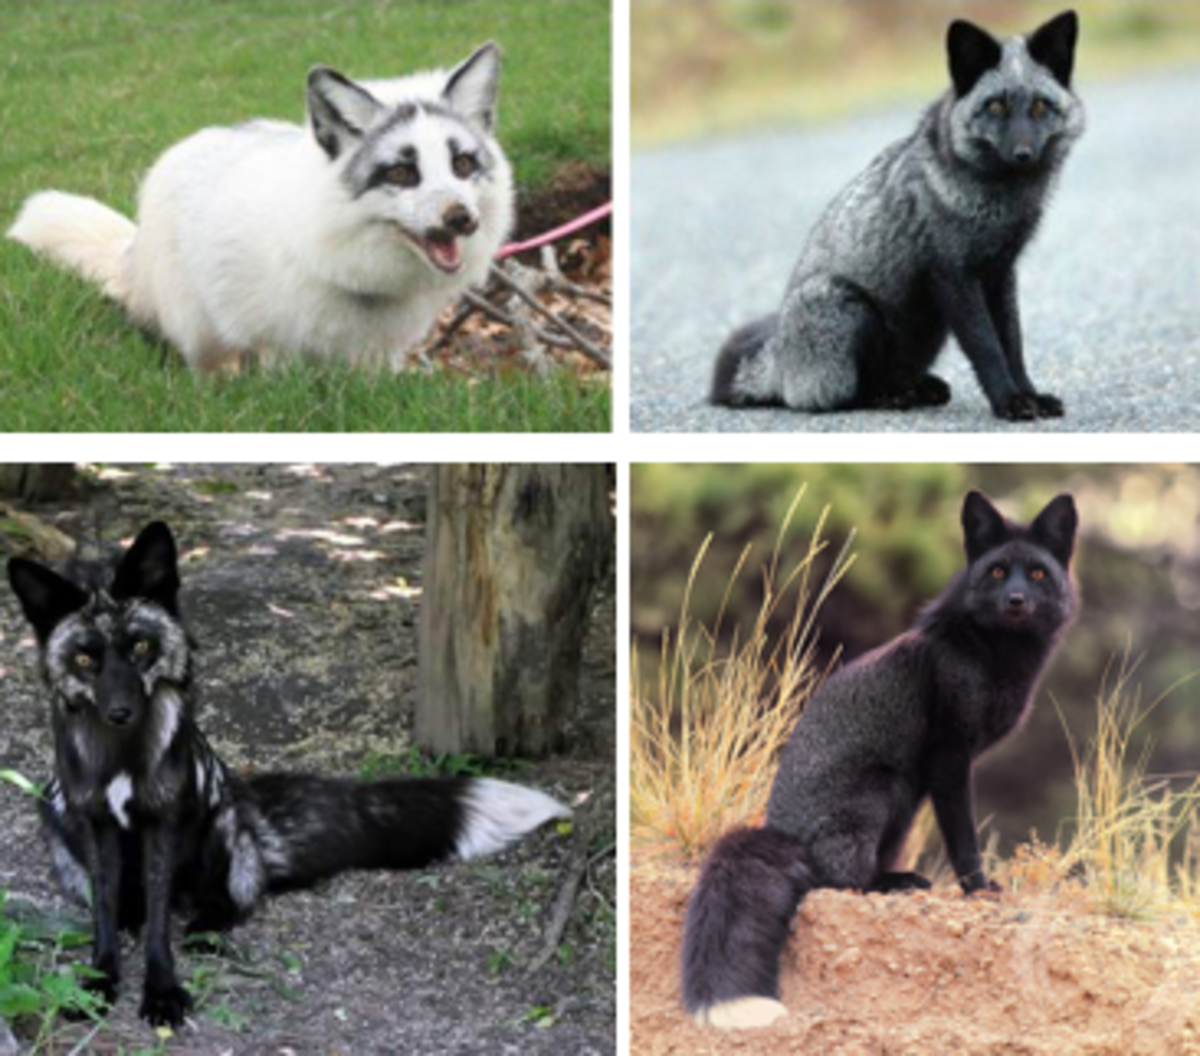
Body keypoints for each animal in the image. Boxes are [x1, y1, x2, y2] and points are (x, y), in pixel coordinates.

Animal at [6, 521, 569, 1028]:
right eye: (85, 659)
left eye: (141, 648)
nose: (120, 712)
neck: (123, 758)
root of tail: (248, 803)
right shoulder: (97, 824)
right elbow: (103, 913)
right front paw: (100, 981)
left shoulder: (164, 824)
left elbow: (161, 924)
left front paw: (162, 990)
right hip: (60, 826)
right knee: (124, 904)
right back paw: (133, 916)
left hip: (218, 827)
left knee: (230, 898)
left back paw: (207, 926)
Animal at [7, 44, 514, 372]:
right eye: (402, 173)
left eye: (463, 164)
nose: (462, 219)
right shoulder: (274, 346)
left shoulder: (378, 358)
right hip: (200, 332)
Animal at [682, 490, 1078, 1029]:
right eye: (998, 572)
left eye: (1036, 573)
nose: (1016, 600)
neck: (990, 657)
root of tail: (782, 833)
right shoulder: (950, 755)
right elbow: (964, 840)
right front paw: (978, 890)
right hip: (885, 789)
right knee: (844, 880)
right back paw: (894, 882)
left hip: (905, 805)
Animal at [711, 11, 1084, 421]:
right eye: (996, 107)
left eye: (1040, 107)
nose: (1023, 154)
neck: (999, 203)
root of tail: (778, 362)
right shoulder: (953, 275)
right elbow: (987, 347)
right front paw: (1010, 402)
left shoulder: (1000, 272)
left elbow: (1012, 343)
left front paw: (1030, 395)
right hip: (847, 305)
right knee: (843, 396)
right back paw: (890, 398)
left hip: (928, 328)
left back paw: (917, 388)